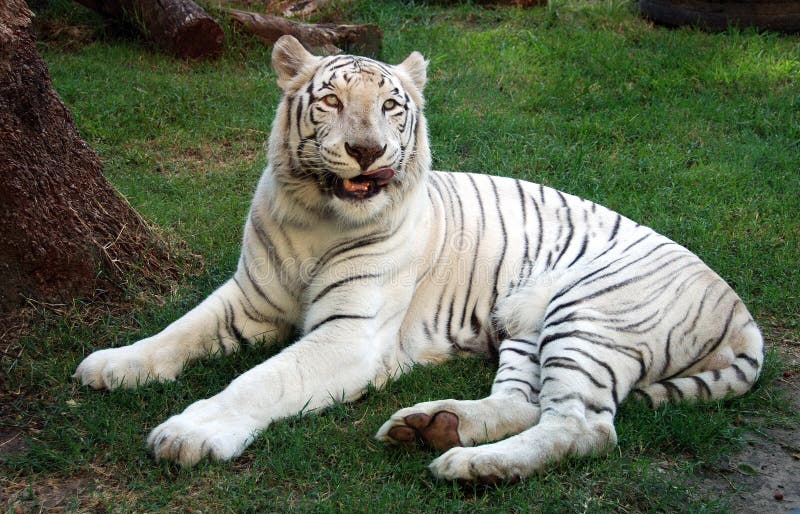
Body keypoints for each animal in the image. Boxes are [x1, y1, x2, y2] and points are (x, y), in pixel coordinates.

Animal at [73, 35, 764, 482]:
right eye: (330, 102)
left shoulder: (348, 336)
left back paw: (468, 465)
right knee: (526, 402)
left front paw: (189, 433)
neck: (316, 218)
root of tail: (741, 312)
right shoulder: (249, 297)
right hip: (525, 323)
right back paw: (434, 426)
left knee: (584, 426)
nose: (366, 150)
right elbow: (178, 331)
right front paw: (113, 365)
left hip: (588, 314)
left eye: (390, 106)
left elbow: (261, 380)